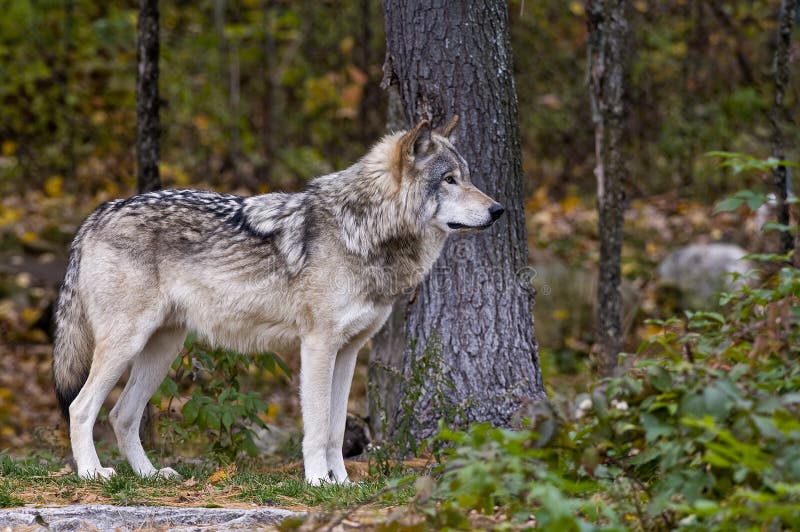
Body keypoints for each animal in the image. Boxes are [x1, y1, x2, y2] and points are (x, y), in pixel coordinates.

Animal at [52, 116, 504, 485]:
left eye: (467, 176)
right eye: (449, 180)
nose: (499, 209)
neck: (362, 230)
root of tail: (97, 214)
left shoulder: (349, 351)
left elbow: (337, 429)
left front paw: (343, 484)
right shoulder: (317, 346)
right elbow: (318, 427)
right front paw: (318, 482)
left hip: (162, 349)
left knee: (121, 415)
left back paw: (149, 475)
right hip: (126, 344)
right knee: (81, 408)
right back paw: (92, 473)